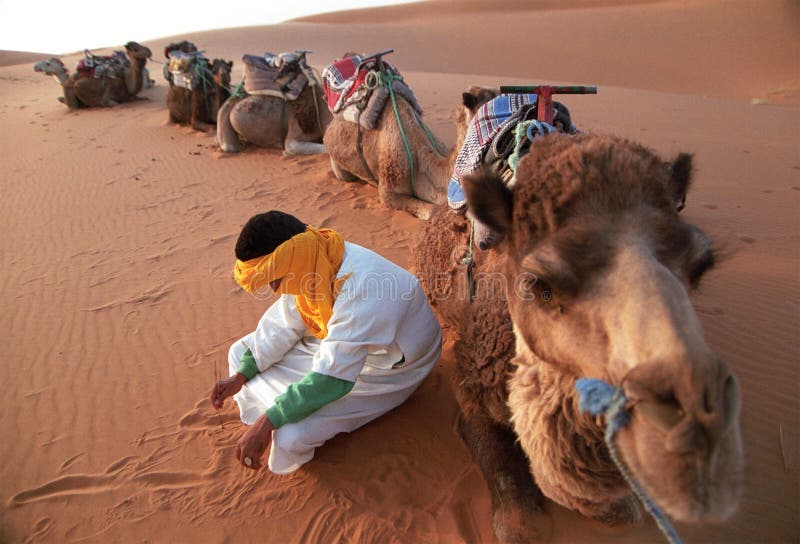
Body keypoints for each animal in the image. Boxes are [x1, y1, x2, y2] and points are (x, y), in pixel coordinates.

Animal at [412, 133, 743, 543]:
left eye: (701, 266)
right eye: (540, 284)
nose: (685, 426)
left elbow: (623, 510)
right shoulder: (472, 387)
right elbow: (520, 524)